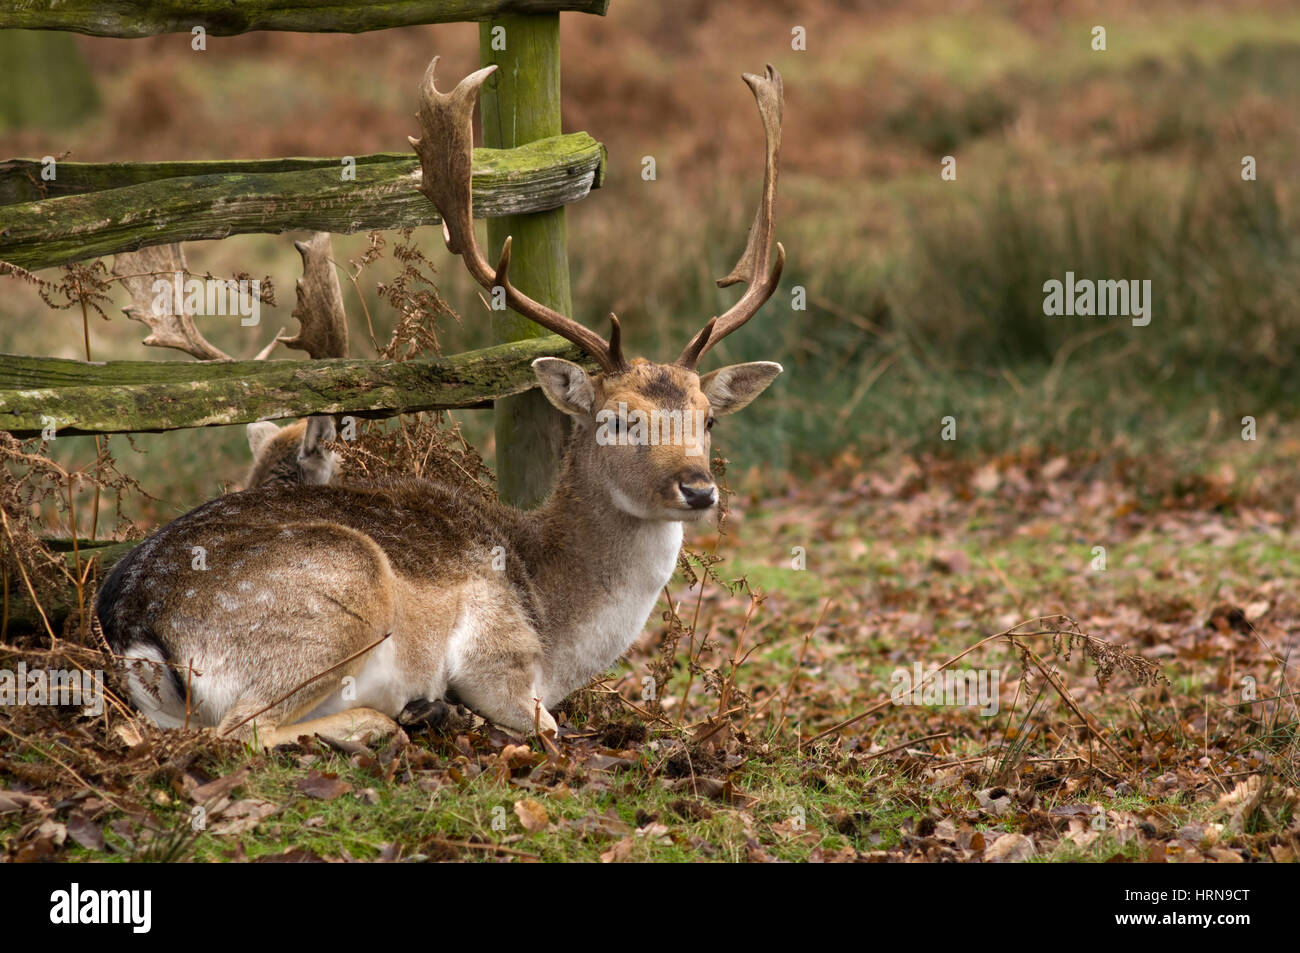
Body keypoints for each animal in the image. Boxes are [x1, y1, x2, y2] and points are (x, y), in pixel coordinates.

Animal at [95, 59, 787, 748]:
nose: (699, 489)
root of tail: (134, 631)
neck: (559, 629)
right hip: (338, 594)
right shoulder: (496, 656)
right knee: (235, 730)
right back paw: (402, 718)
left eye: (709, 418)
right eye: (616, 419)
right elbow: (549, 729)